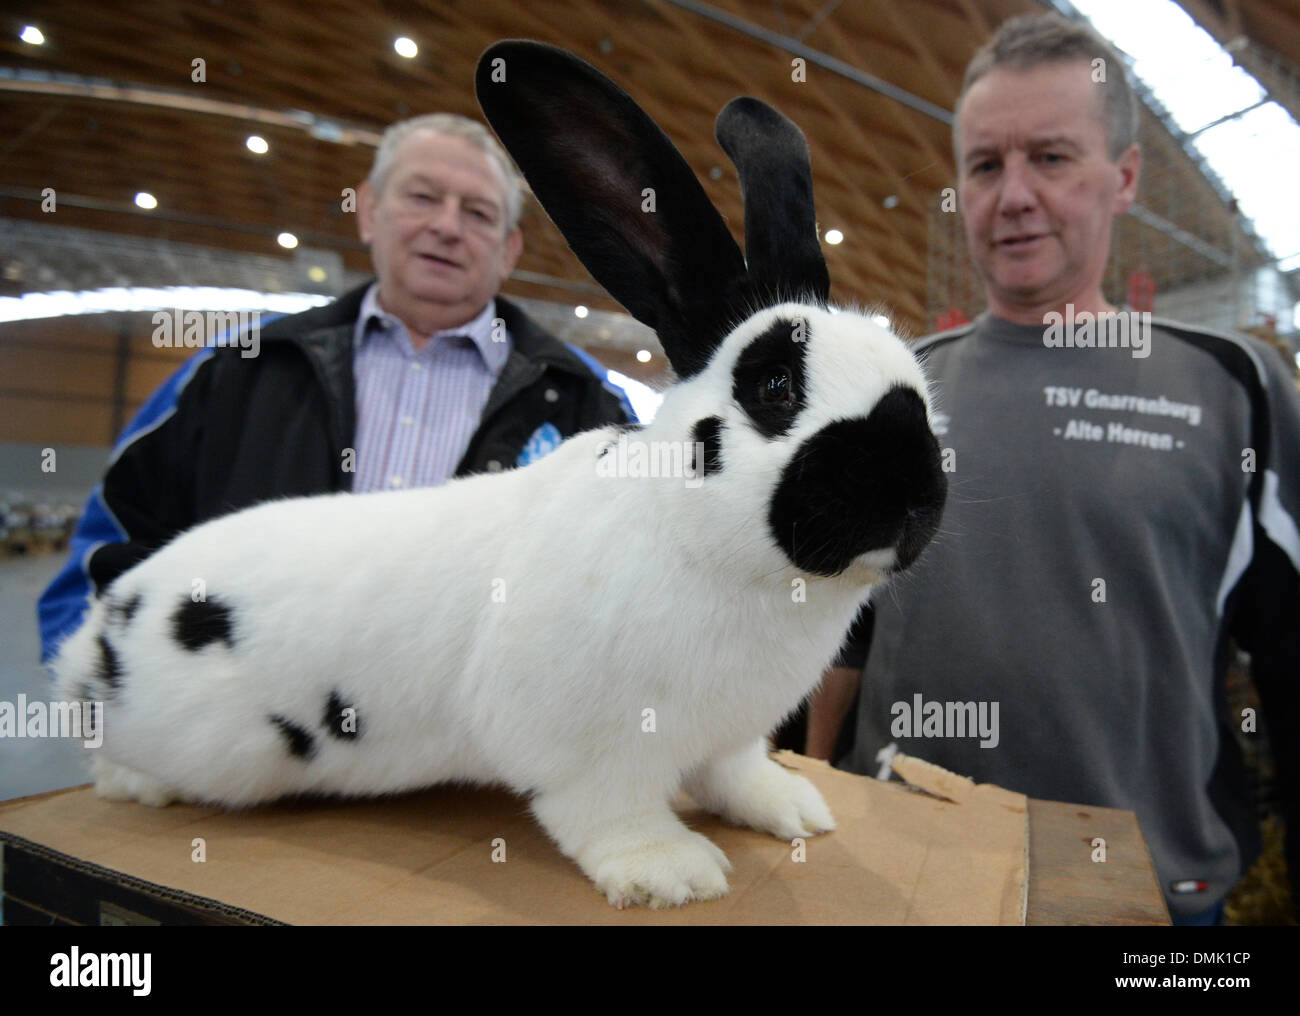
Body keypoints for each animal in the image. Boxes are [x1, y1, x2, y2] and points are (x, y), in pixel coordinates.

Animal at [49, 39, 948, 910]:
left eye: (917, 383)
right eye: (775, 387)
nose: (910, 499)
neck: (703, 546)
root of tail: (97, 631)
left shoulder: (730, 732)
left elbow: (734, 771)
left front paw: (792, 808)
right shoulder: (583, 740)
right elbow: (609, 806)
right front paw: (671, 873)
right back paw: (136, 784)